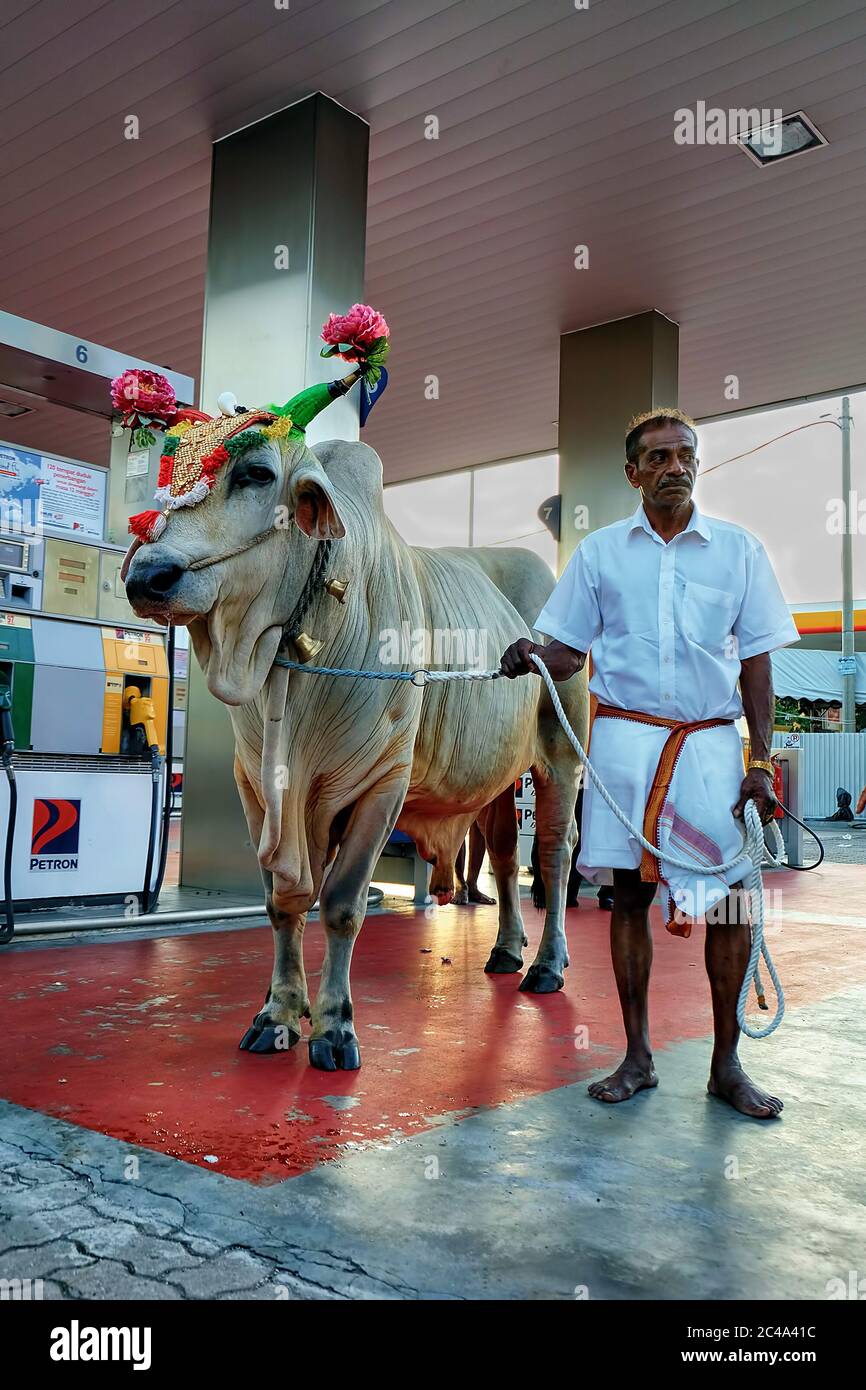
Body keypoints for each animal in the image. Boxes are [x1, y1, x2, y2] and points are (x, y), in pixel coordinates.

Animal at [125, 429, 587, 1070]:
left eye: (258, 474)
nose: (148, 576)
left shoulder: (380, 781)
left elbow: (342, 903)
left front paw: (336, 1026)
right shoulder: (258, 790)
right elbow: (282, 902)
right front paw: (278, 1013)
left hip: (562, 758)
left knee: (553, 852)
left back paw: (547, 964)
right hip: (496, 778)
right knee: (499, 853)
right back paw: (506, 951)